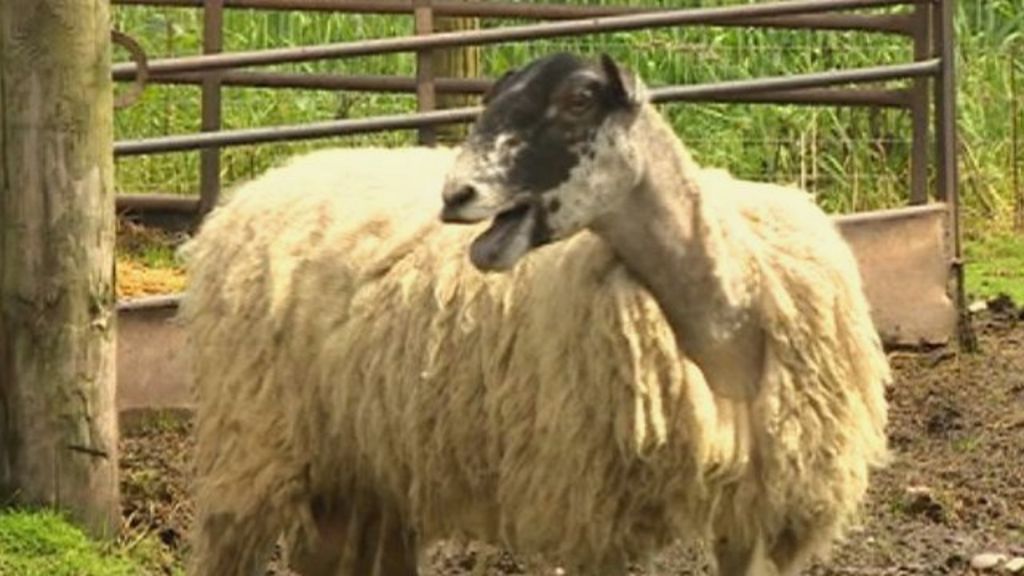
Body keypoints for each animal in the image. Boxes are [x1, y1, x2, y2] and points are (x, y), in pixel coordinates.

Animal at [181, 54, 889, 576]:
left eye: (578, 101)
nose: (455, 194)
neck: (722, 319)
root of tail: (264, 185)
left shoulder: (761, 511)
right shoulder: (593, 507)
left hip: (367, 456)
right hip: (258, 438)